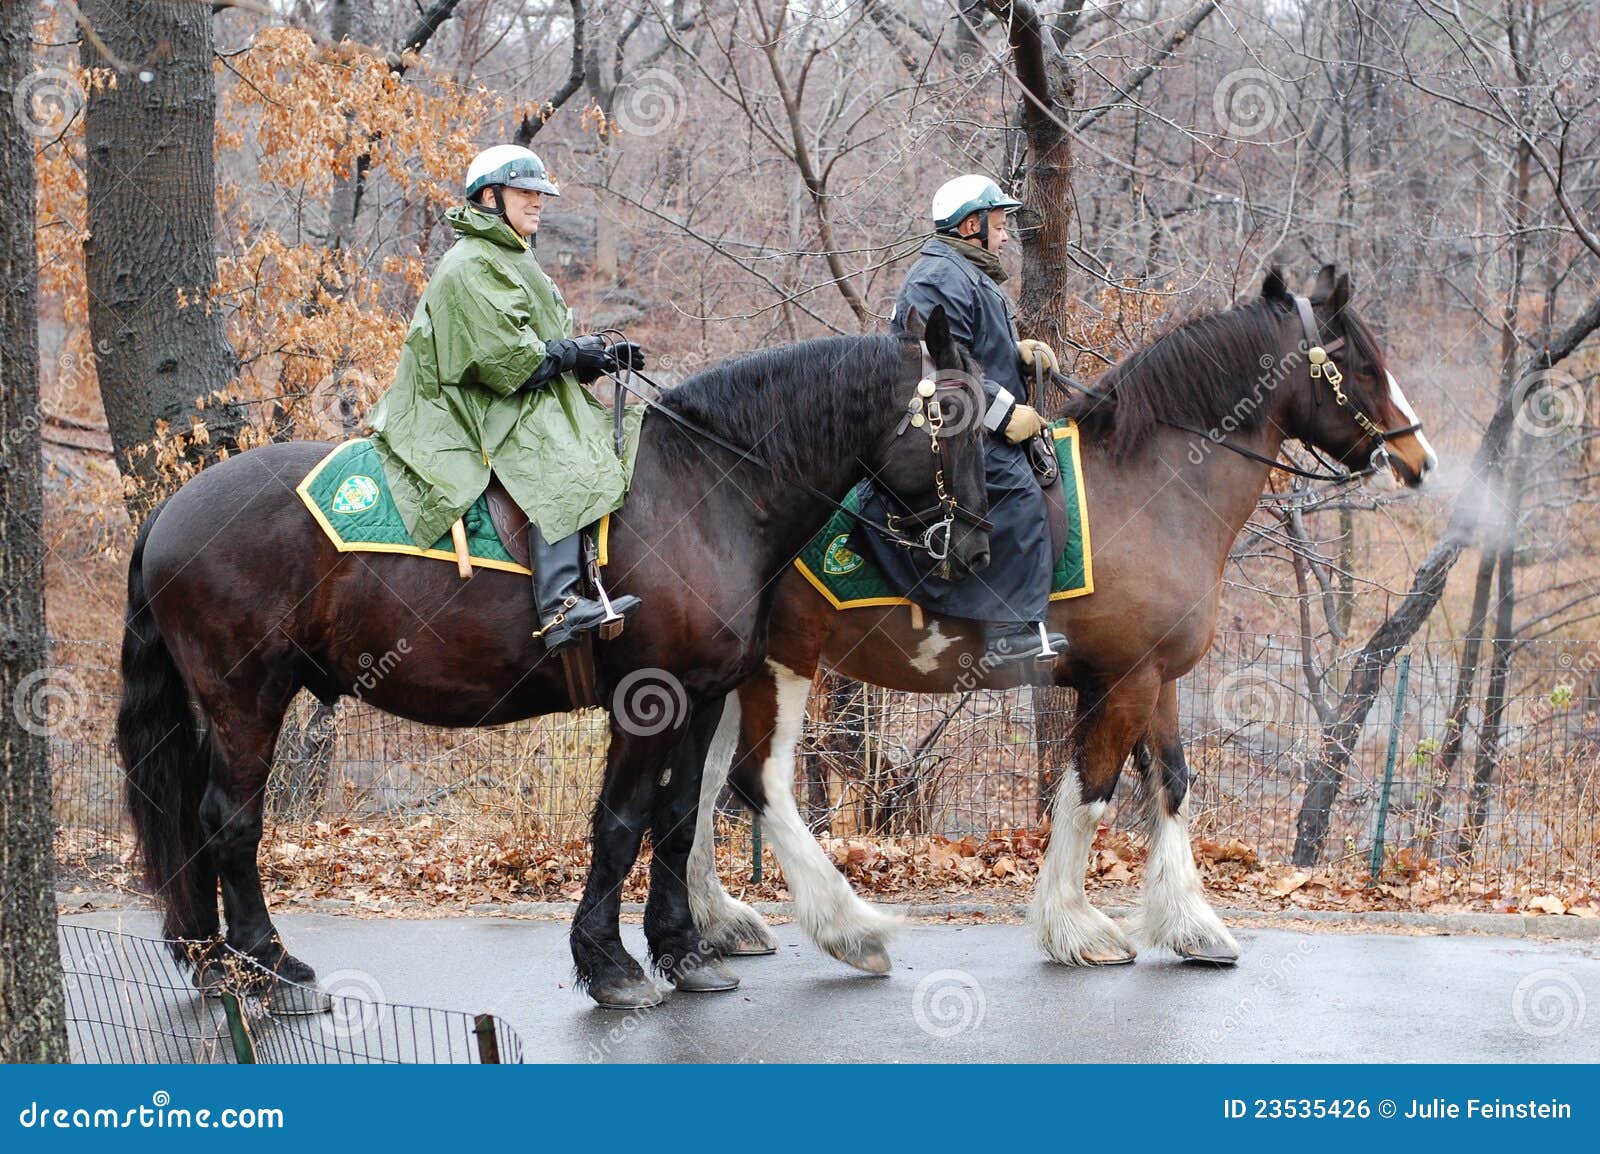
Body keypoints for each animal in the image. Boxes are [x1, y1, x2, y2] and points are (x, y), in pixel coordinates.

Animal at [116, 305, 995, 1009]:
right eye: (954, 417)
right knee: (230, 823)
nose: (979, 550)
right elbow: (621, 823)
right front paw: (610, 965)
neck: (706, 491)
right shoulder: (649, 699)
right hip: (247, 699)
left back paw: (216, 962)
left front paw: (681, 950)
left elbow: (677, 821)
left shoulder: (704, 696)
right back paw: (266, 966)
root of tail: (174, 506)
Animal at [679, 265, 1439, 974]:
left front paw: (1190, 923)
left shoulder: (1155, 681)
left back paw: (717, 920)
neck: (1154, 486)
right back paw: (846, 928)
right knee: (755, 781)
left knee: (706, 784)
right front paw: (1075, 926)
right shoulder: (1125, 682)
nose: (1418, 458)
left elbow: (1171, 785)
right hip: (784, 662)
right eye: (1363, 365)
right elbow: (1091, 796)